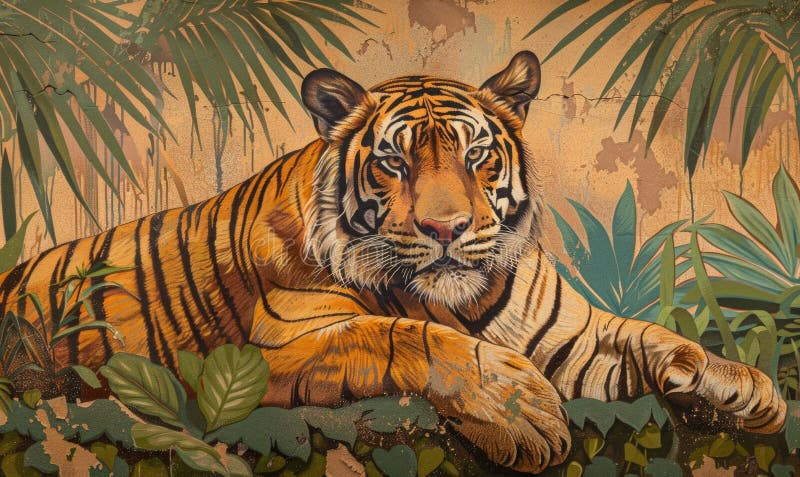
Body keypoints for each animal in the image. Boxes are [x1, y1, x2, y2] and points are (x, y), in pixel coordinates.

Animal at [0, 51, 786, 473]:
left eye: (476, 154)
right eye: (393, 162)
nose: (447, 227)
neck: (471, 297)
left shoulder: (576, 339)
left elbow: (655, 337)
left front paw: (747, 387)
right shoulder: (272, 349)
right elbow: (408, 336)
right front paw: (524, 413)